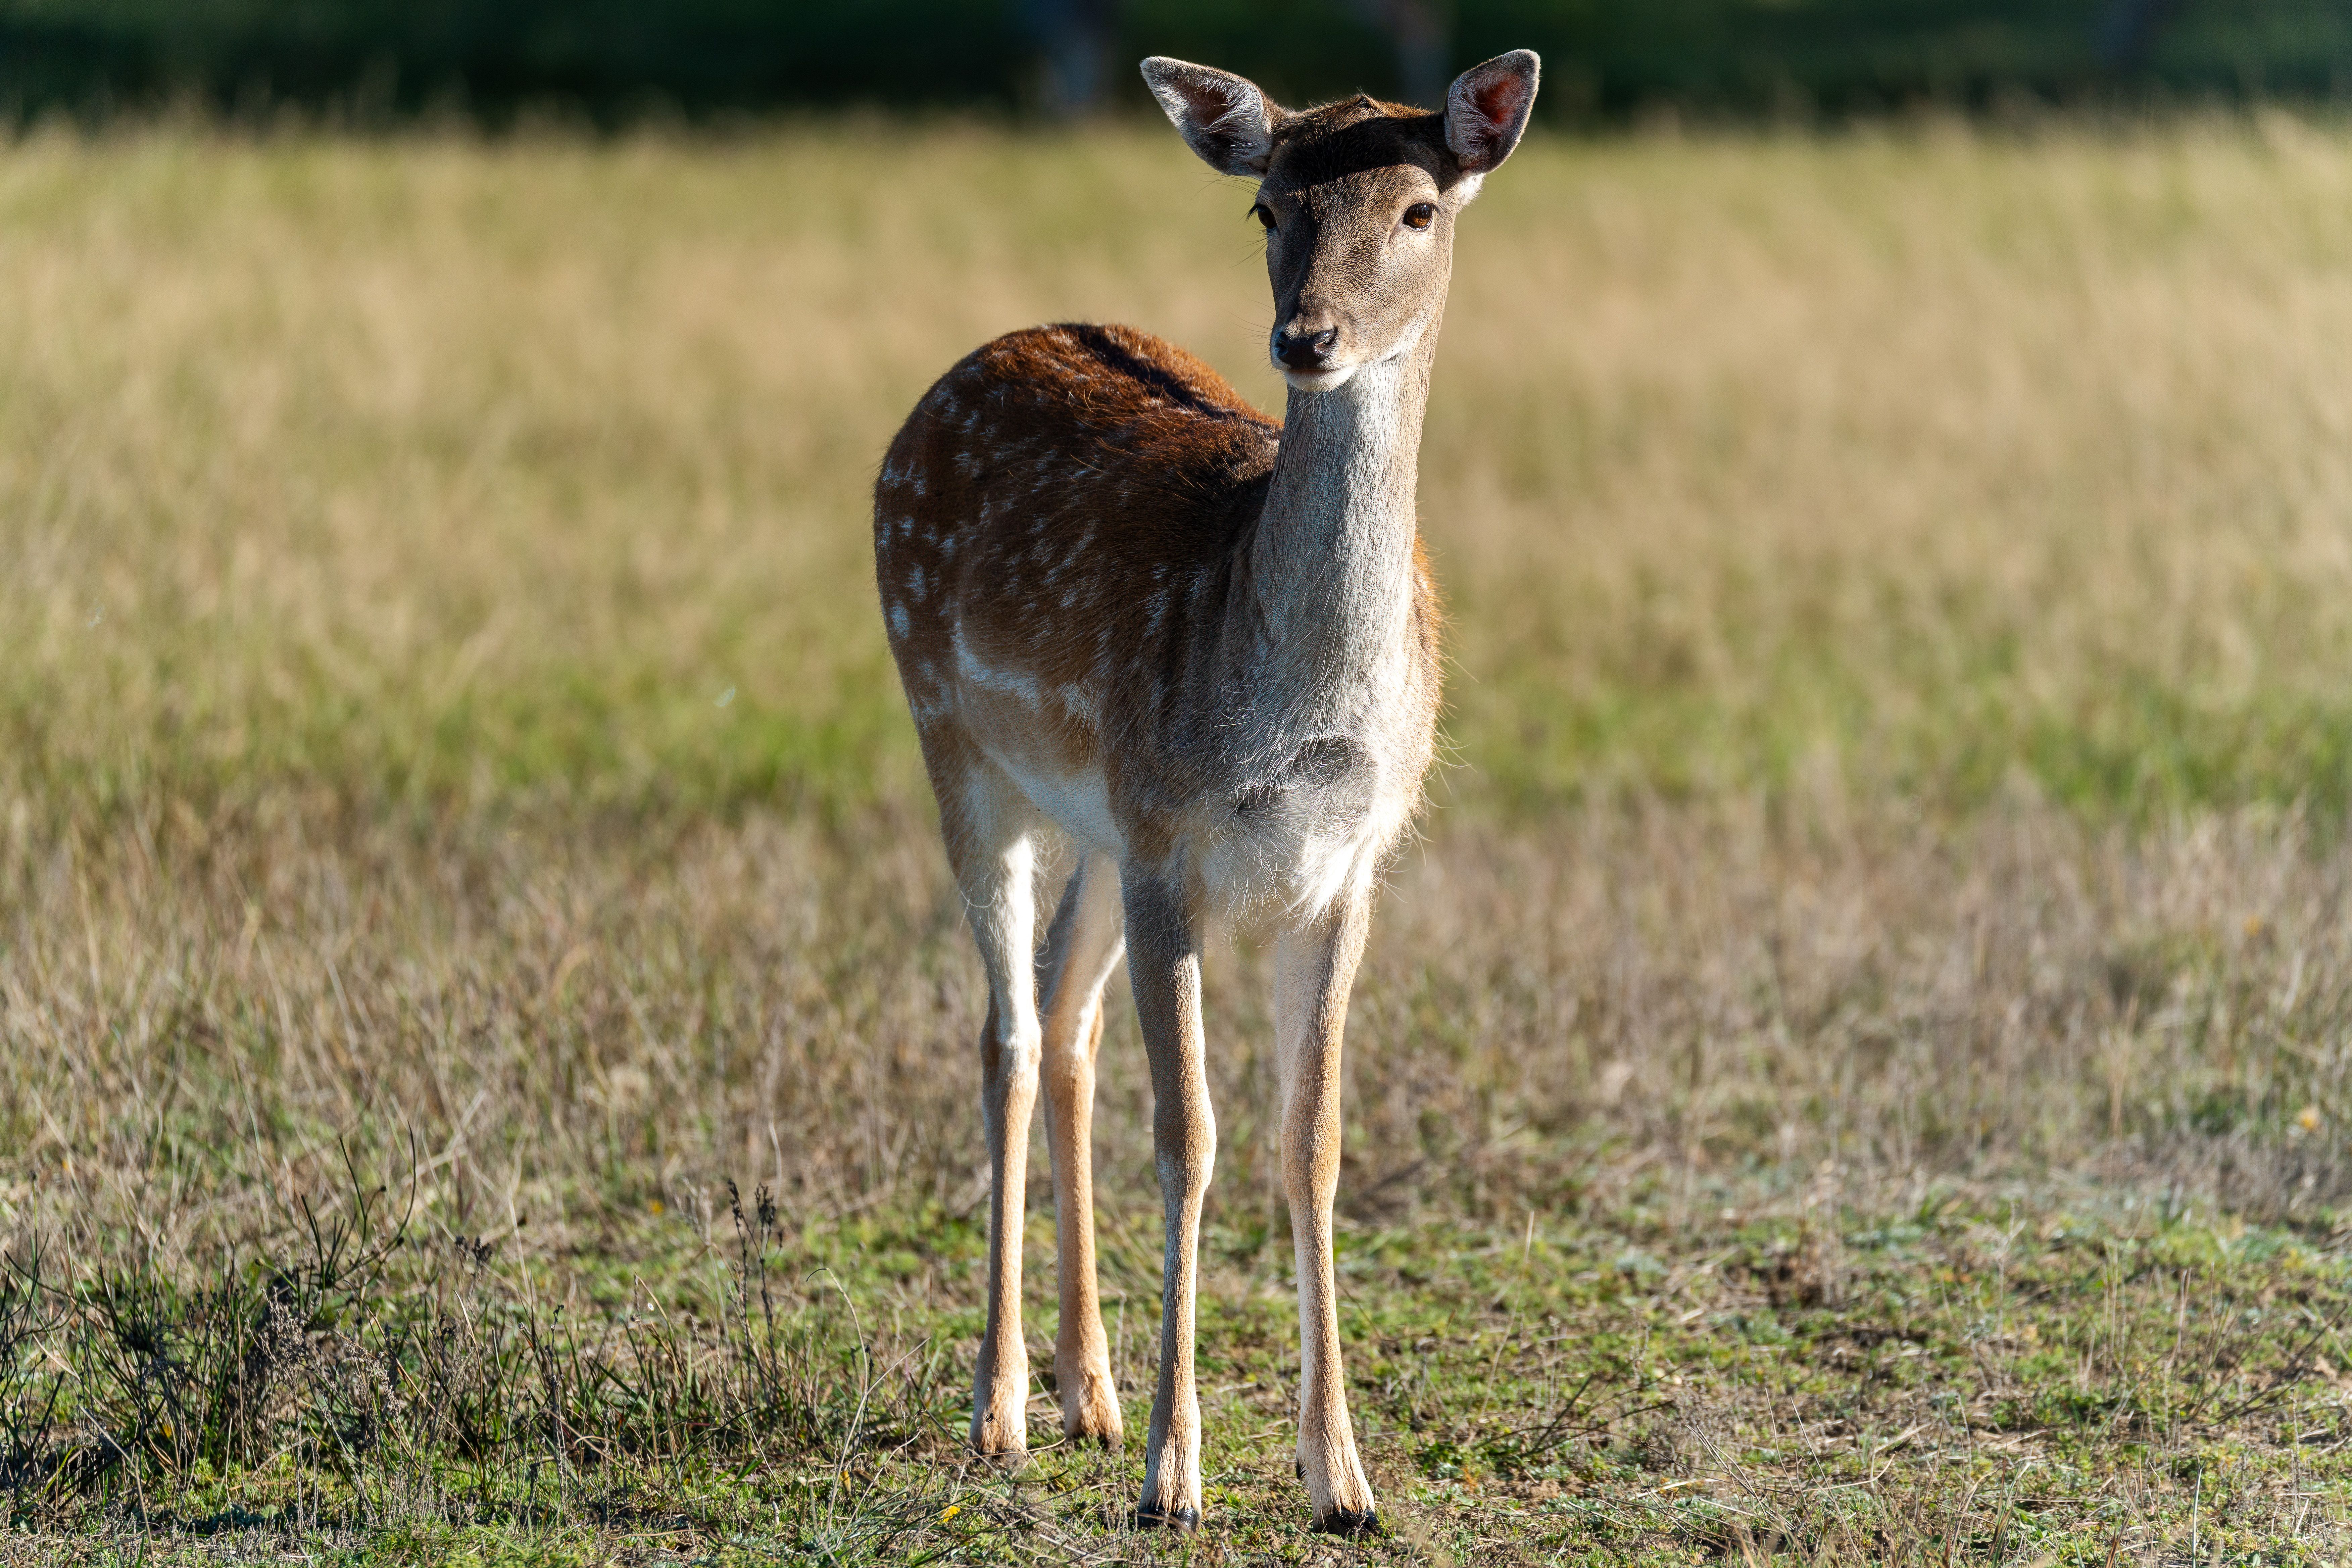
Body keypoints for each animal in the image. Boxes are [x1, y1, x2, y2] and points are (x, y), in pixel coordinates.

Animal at [872, 49, 1540, 1534]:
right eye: (1268, 207)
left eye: (1418, 207)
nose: (1306, 337)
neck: (1296, 718)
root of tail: (962, 367)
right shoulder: (1173, 841)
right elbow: (1191, 1134)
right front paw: (1180, 1481)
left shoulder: (1344, 865)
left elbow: (1314, 1140)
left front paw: (1340, 1477)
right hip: (958, 740)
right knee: (1007, 1035)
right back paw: (1002, 1407)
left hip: (1099, 821)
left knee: (1065, 1017)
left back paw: (1091, 1392)